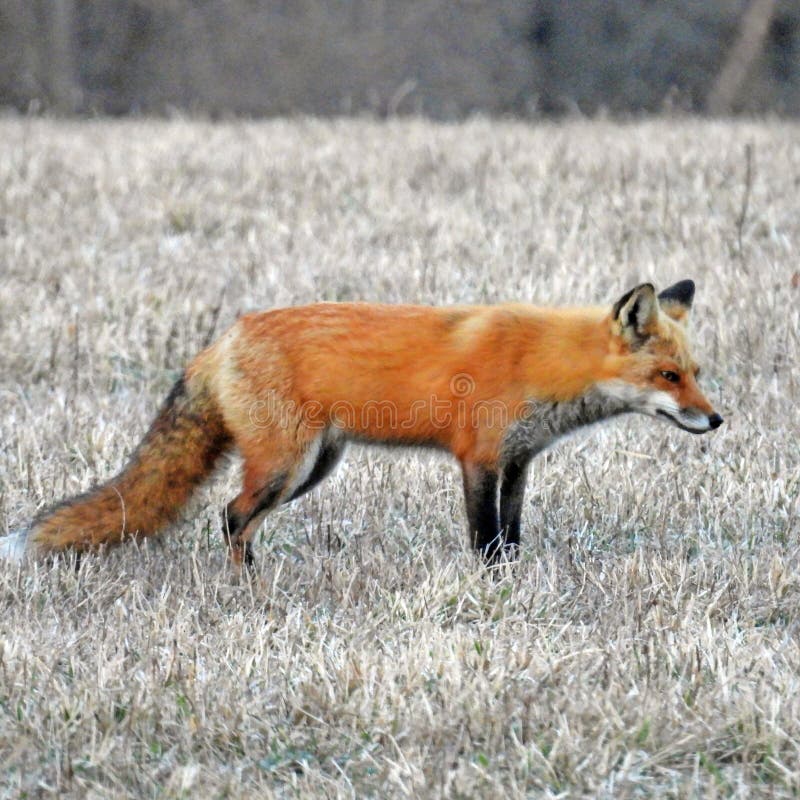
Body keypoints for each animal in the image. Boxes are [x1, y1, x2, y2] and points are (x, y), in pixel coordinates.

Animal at [0, 279, 722, 567]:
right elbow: (484, 539)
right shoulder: (478, 458)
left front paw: (518, 581)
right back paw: (248, 590)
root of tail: (224, 338)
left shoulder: (518, 460)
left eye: (696, 370)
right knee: (231, 516)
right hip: (286, 465)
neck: (544, 362)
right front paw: (492, 590)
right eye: (668, 377)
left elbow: (513, 536)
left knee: (239, 520)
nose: (715, 420)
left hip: (314, 466)